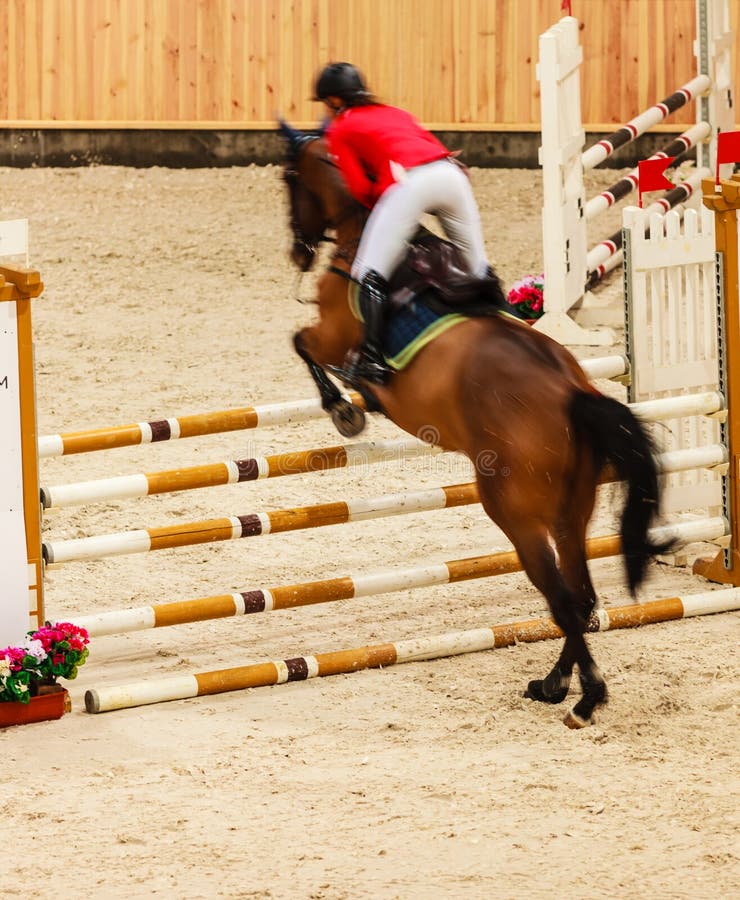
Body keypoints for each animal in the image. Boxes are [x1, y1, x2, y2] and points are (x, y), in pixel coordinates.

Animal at [277, 120, 669, 728]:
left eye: (289, 179)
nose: (297, 249)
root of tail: (572, 394)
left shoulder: (331, 335)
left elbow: (302, 343)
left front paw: (344, 410)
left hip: (513, 510)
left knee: (562, 598)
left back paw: (584, 697)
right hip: (570, 510)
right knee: (579, 597)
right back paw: (554, 684)